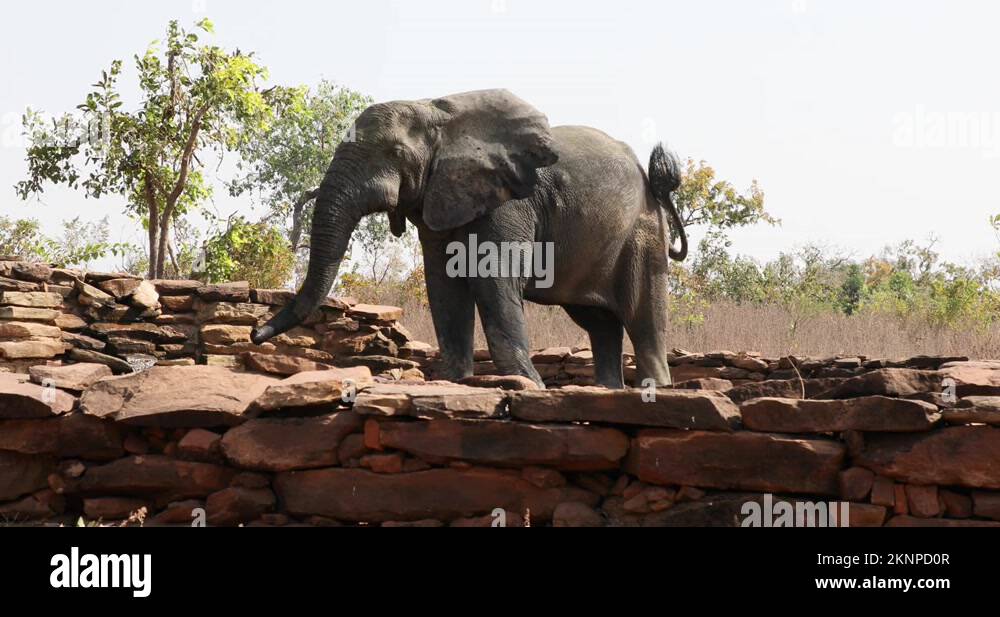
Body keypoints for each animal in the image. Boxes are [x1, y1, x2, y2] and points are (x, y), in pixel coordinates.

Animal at [251, 89, 688, 389]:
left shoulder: (511, 199)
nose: (255, 335)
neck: (436, 112)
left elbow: (492, 279)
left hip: (642, 233)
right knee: (599, 321)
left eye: (395, 153)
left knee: (643, 314)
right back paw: (609, 389)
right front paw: (454, 380)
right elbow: (443, 283)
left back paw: (654, 388)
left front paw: (528, 384)